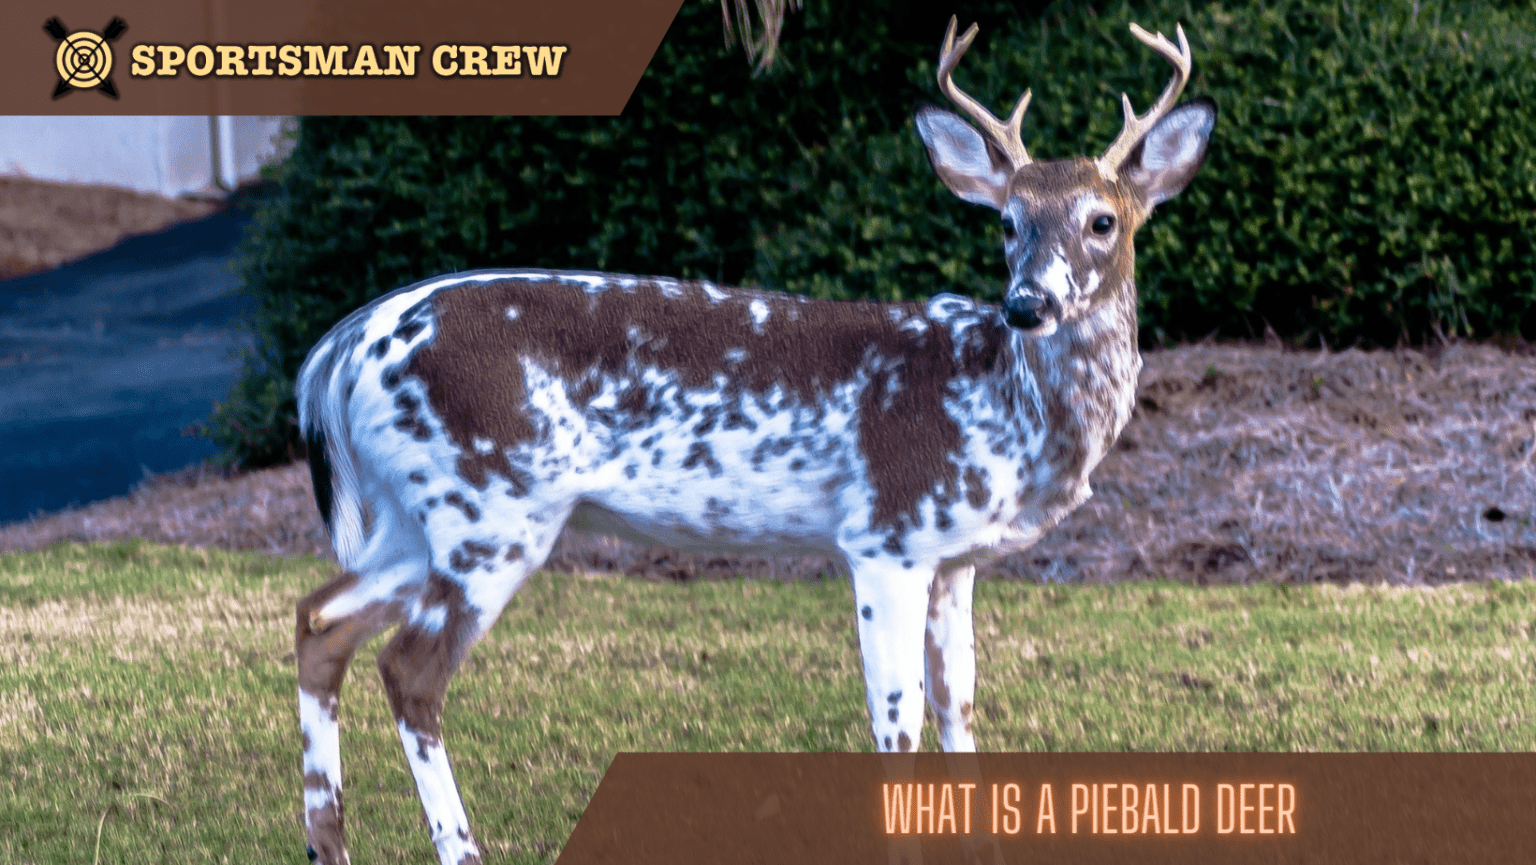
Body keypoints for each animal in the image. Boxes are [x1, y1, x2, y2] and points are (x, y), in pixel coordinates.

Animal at [291, 17, 1215, 865]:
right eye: (1008, 223)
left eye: (1102, 219)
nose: (1029, 304)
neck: (1004, 406)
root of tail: (340, 349)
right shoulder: (888, 533)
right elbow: (897, 725)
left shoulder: (956, 558)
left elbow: (959, 714)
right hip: (488, 504)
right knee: (408, 670)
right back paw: (460, 847)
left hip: (415, 517)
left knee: (321, 620)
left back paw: (330, 844)